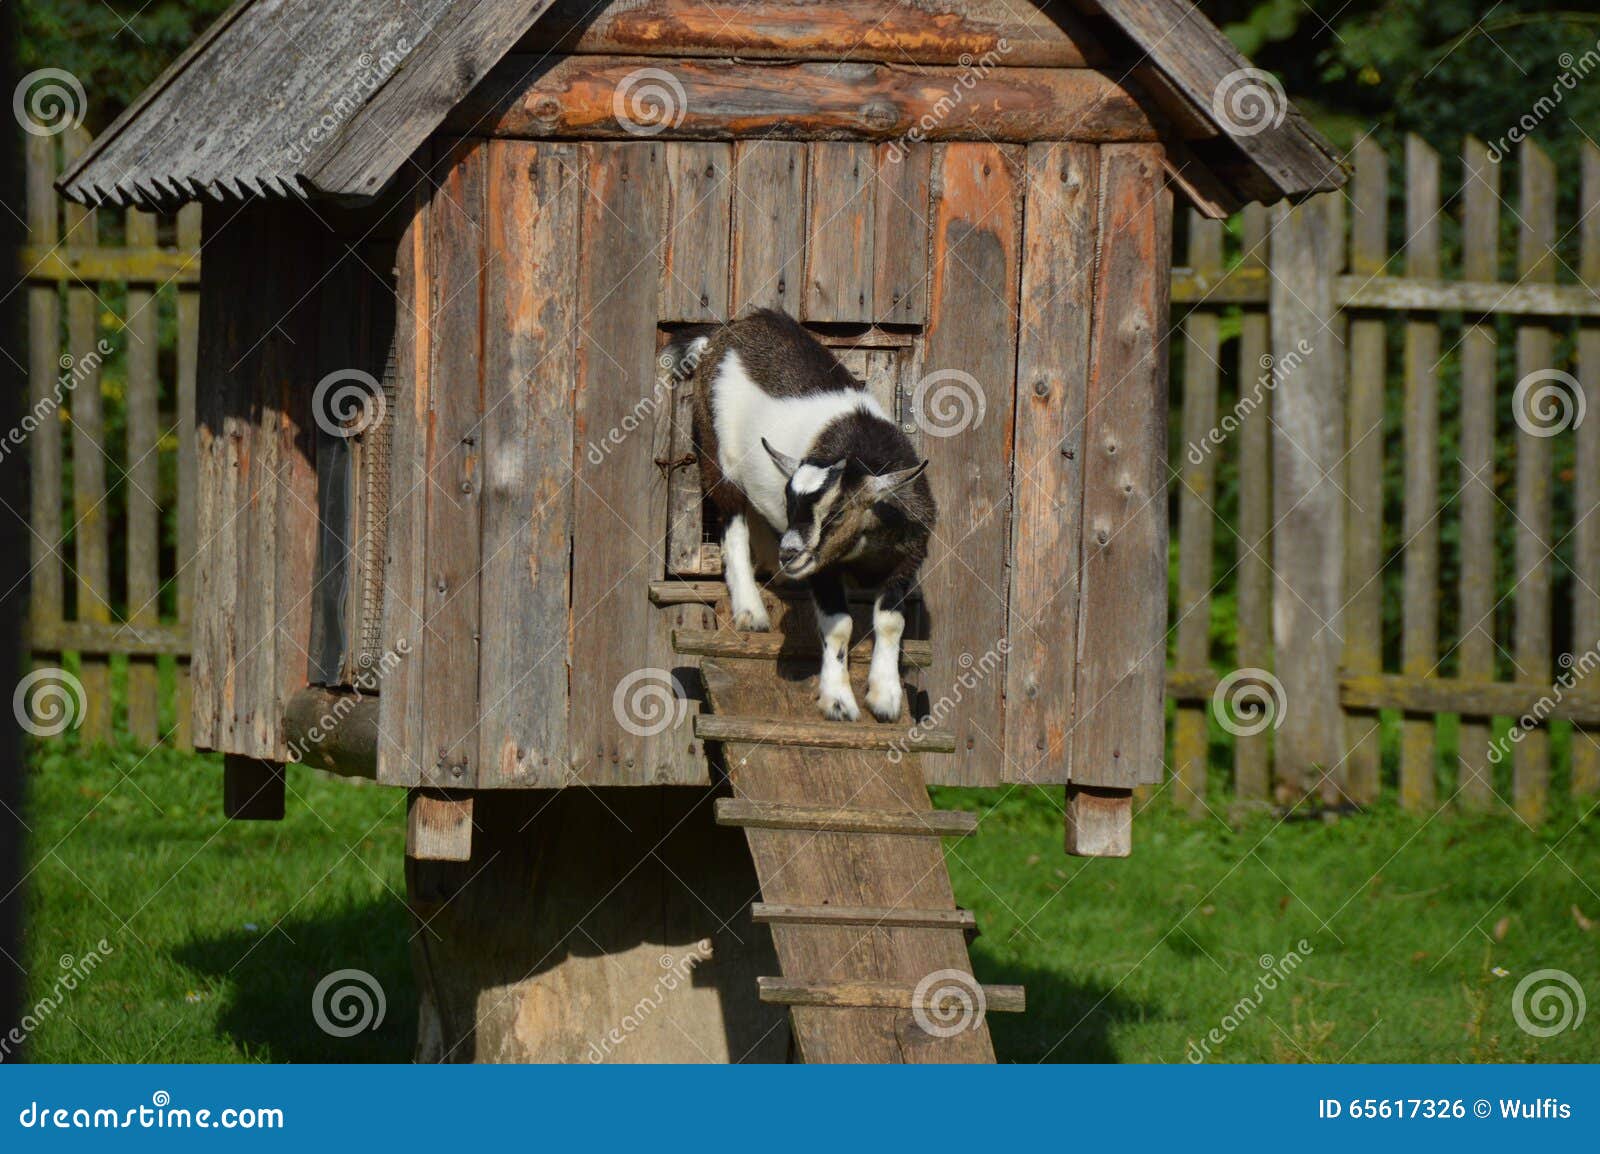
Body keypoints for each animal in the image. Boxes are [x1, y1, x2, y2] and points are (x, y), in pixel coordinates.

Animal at [669, 309, 935, 723]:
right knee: (733, 520)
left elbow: (892, 622)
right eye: (791, 503)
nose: (790, 553)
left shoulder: (908, 557)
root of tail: (724, 334)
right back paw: (751, 610)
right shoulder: (821, 566)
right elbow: (839, 626)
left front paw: (885, 699)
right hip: (717, 451)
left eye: (838, 511)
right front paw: (838, 702)